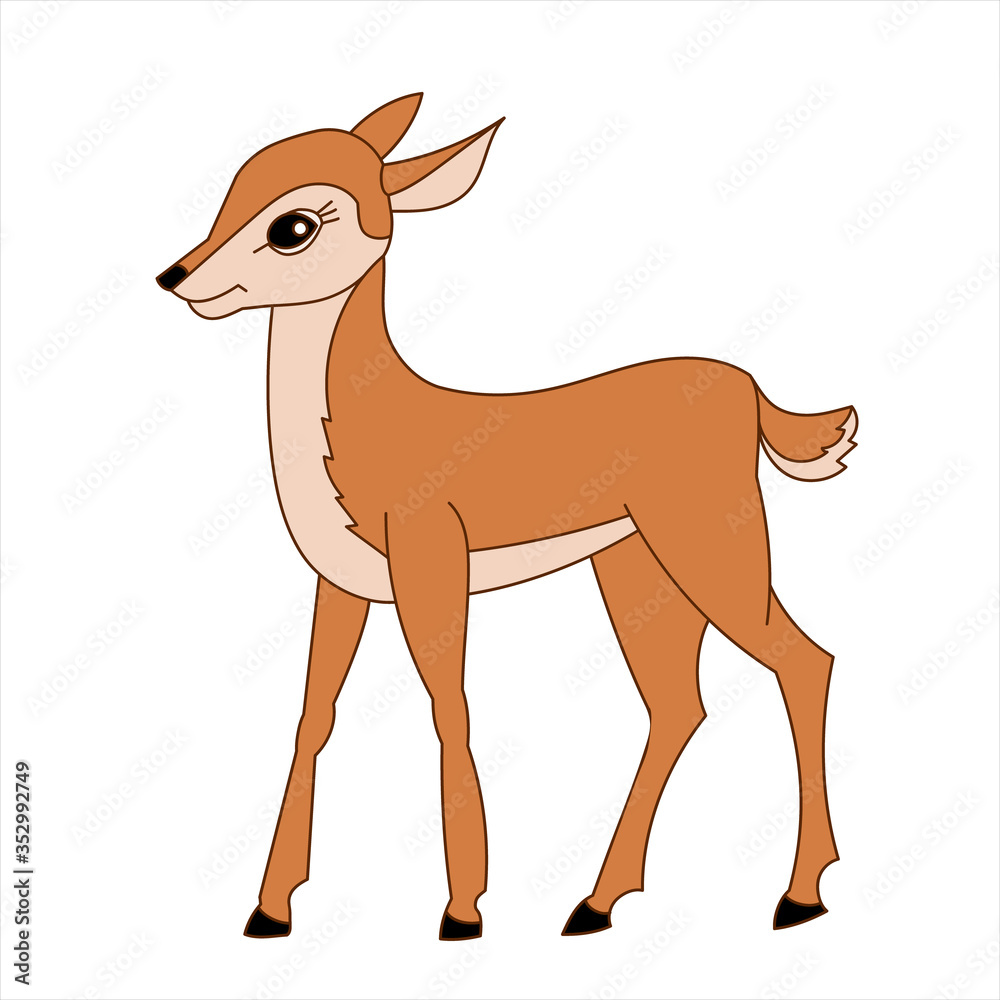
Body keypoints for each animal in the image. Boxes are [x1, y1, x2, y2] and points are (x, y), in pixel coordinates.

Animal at [157, 94, 856, 942]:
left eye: (293, 225)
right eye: (234, 184)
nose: (175, 276)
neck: (359, 428)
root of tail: (749, 388)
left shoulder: (431, 565)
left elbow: (448, 707)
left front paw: (463, 911)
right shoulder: (344, 584)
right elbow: (313, 715)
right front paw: (270, 908)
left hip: (711, 543)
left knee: (803, 661)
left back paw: (800, 897)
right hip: (636, 567)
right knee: (678, 705)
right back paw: (595, 904)